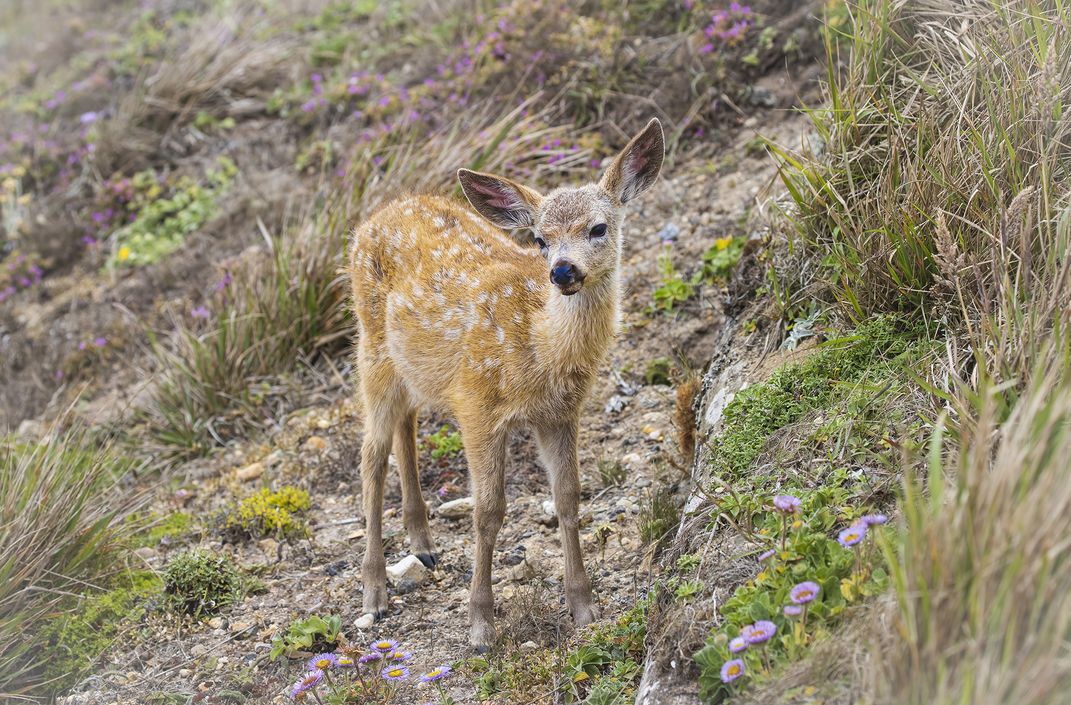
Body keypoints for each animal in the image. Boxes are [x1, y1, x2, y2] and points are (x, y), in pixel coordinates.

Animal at [348, 118, 664, 651]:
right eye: (539, 239)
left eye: (598, 227)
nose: (563, 271)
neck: (540, 349)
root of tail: (373, 218)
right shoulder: (476, 404)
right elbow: (489, 512)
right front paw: (480, 625)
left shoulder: (561, 414)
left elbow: (568, 498)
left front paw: (584, 607)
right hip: (372, 353)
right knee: (371, 455)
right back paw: (374, 592)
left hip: (413, 367)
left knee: (405, 426)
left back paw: (423, 545)